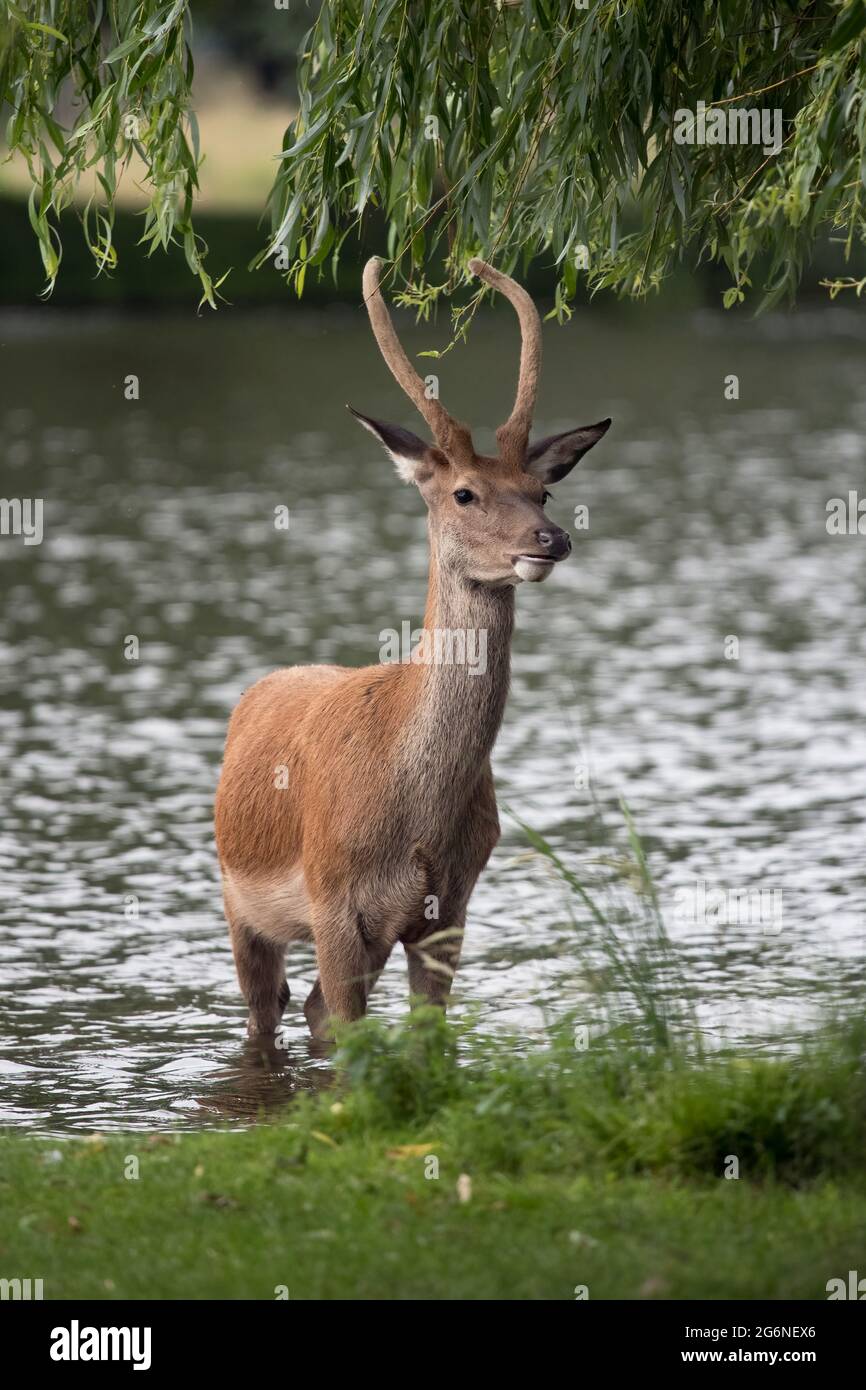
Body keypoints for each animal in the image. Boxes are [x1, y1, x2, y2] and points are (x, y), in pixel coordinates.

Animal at [214, 257, 610, 1041]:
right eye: (464, 493)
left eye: (541, 492)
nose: (551, 540)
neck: (413, 813)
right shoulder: (332, 900)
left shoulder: (450, 907)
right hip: (236, 897)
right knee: (266, 1009)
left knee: (306, 1007)